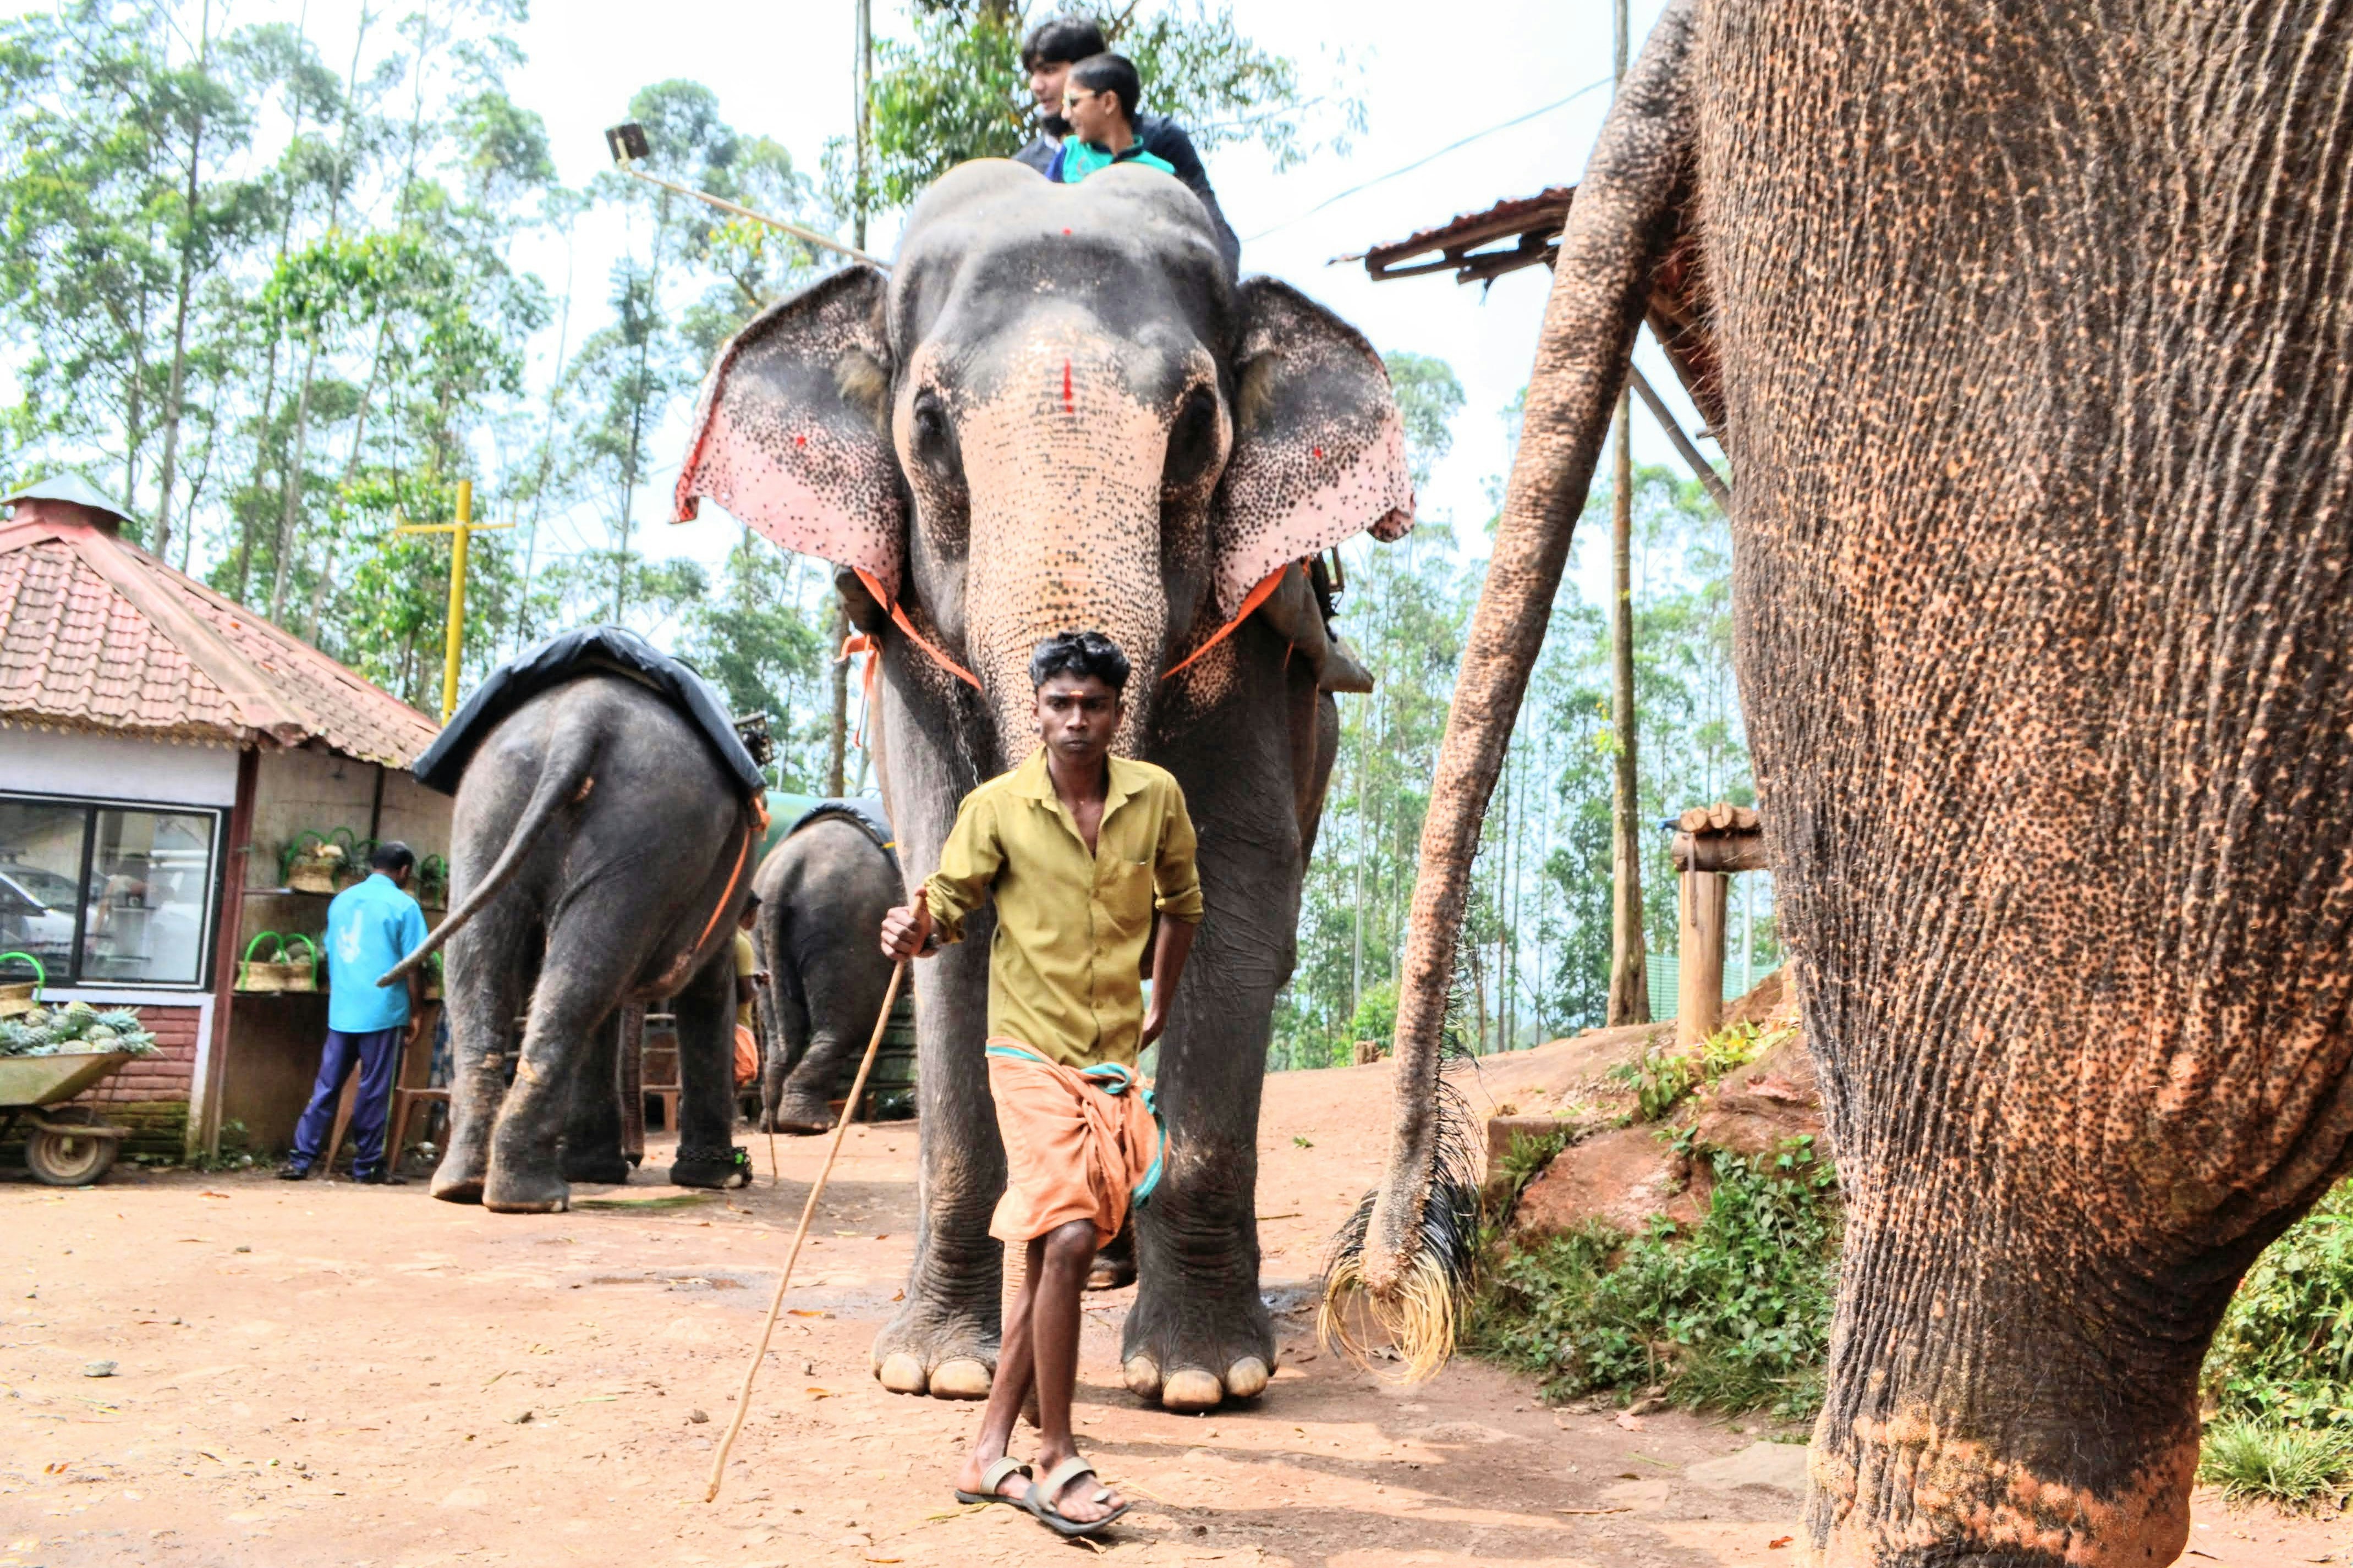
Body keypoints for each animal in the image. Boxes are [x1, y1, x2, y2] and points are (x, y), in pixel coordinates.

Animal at [386, 673, 763, 1212]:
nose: (635, 1156)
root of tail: (580, 718)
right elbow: (709, 989)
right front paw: (722, 1178)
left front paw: (599, 1171)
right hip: (648, 827)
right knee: (588, 972)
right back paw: (533, 1196)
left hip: (491, 806)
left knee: (494, 963)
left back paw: (467, 1187)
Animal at [752, 808, 902, 1135]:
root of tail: (786, 866)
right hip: (843, 926)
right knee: (852, 1022)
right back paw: (814, 1124)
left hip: (761, 934)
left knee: (784, 1030)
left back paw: (773, 1123)